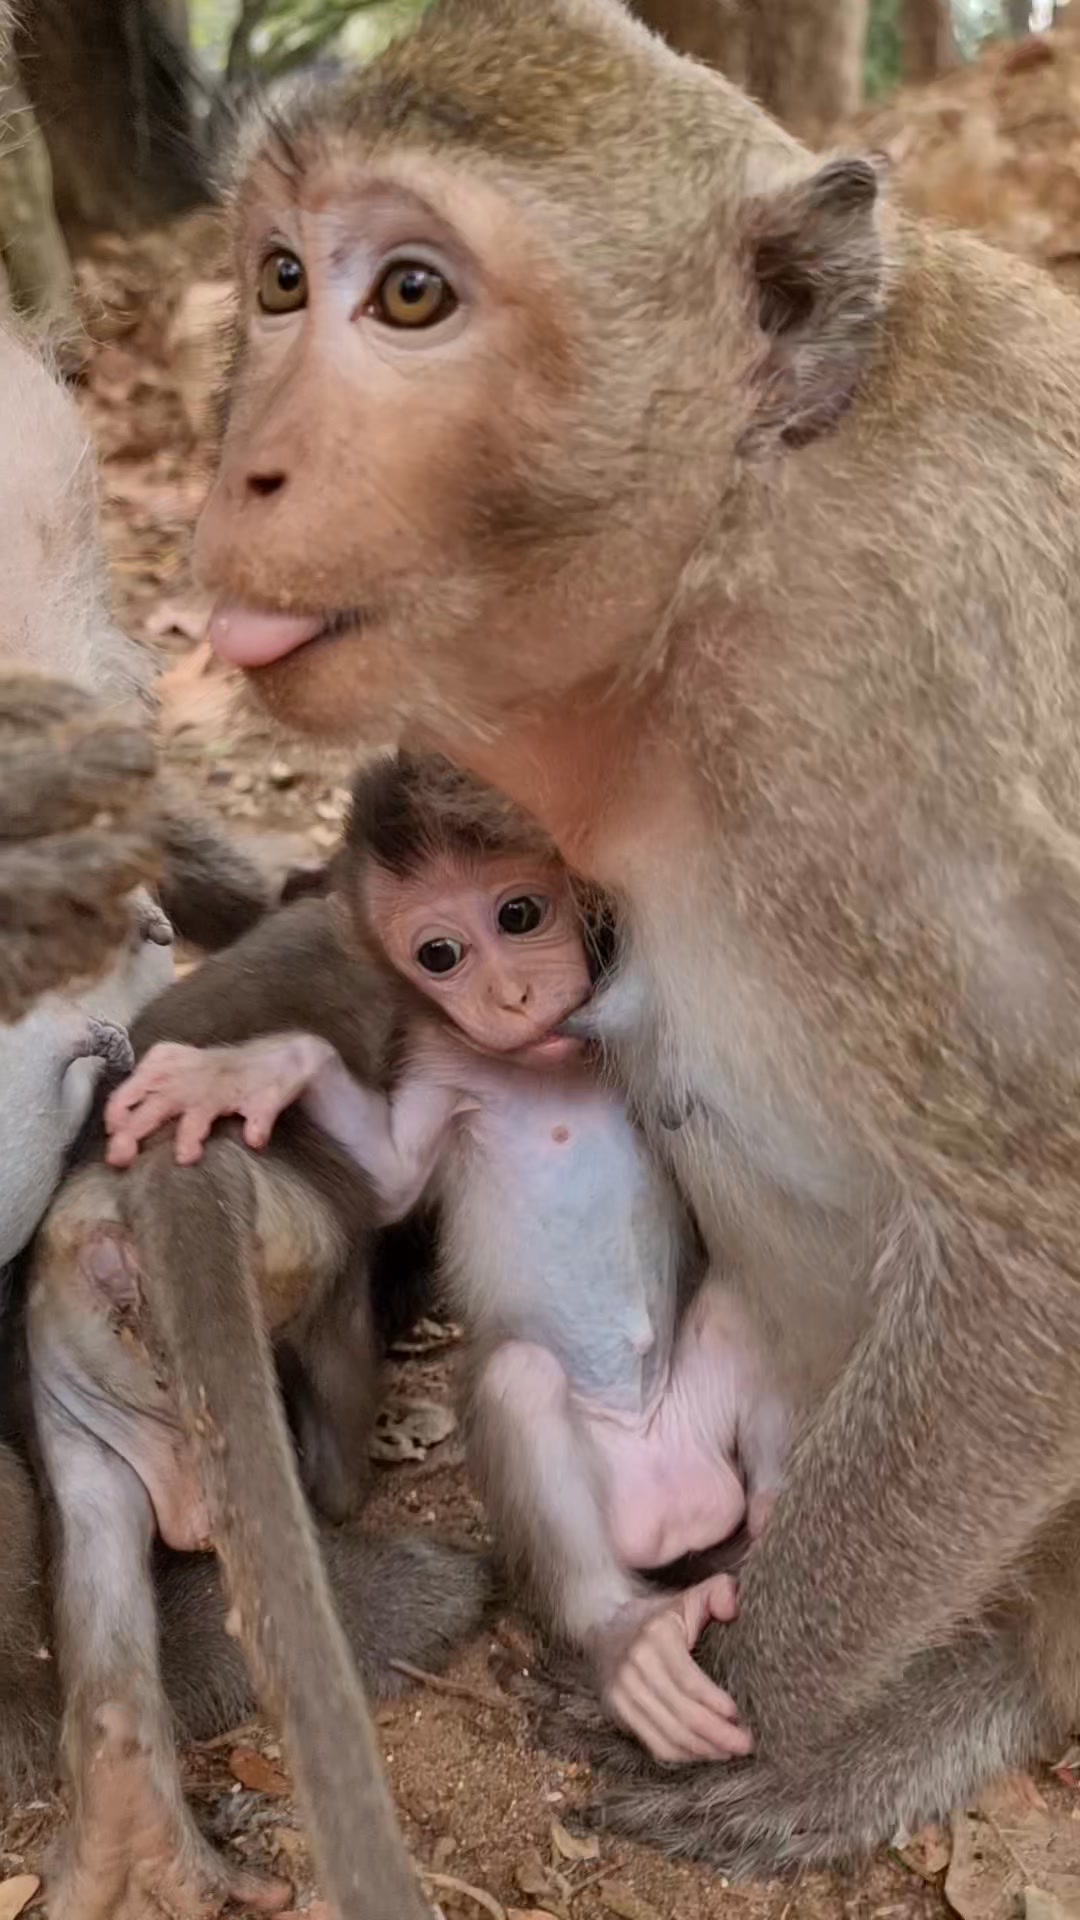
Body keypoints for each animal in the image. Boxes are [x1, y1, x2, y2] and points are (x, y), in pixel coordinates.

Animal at [107, 752, 792, 1769]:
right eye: (440, 954)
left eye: (521, 914)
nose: (510, 997)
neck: (542, 1065)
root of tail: (672, 1494)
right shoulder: (439, 1069)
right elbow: (390, 1184)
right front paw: (245, 1072)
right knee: (517, 1386)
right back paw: (628, 1638)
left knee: (747, 1316)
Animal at [186, 0, 1080, 1875]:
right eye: (282, 277)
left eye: (413, 296)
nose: (244, 463)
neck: (733, 538)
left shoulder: (883, 696)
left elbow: (1043, 1234)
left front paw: (745, 1703)